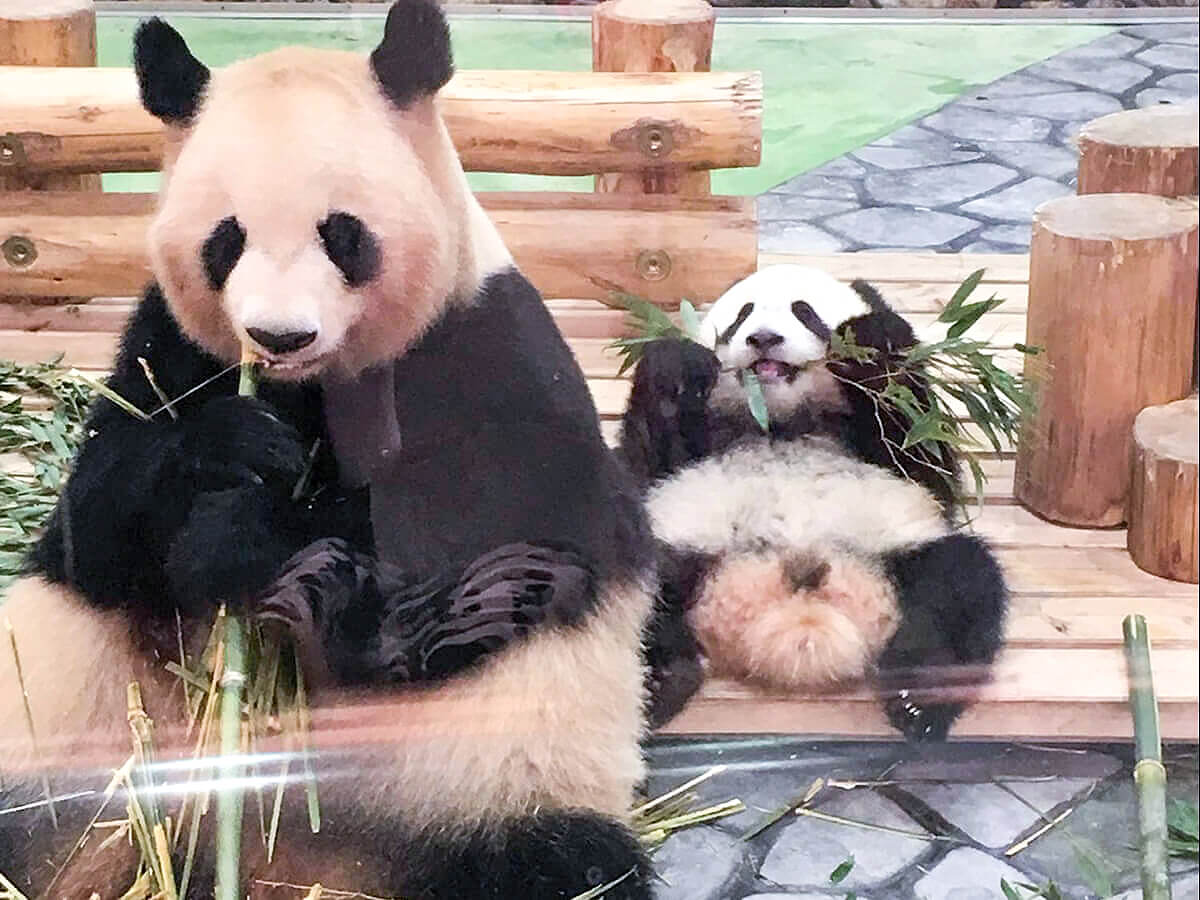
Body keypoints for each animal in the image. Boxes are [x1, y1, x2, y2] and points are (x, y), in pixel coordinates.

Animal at [0, 4, 657, 897]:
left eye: (341, 234)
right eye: (226, 239)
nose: (281, 336)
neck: (309, 386)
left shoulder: (485, 353)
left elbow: (481, 556)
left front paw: (251, 541)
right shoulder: (168, 351)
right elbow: (95, 527)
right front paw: (230, 461)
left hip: (502, 771)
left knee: (558, 862)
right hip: (70, 739)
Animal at [621, 264, 1009, 742]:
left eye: (804, 312)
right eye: (742, 315)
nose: (763, 339)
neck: (782, 419)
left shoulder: (897, 455)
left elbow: (923, 456)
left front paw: (871, 339)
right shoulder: (694, 448)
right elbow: (646, 464)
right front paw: (676, 368)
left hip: (896, 553)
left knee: (959, 582)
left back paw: (921, 695)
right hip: (684, 554)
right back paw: (660, 682)